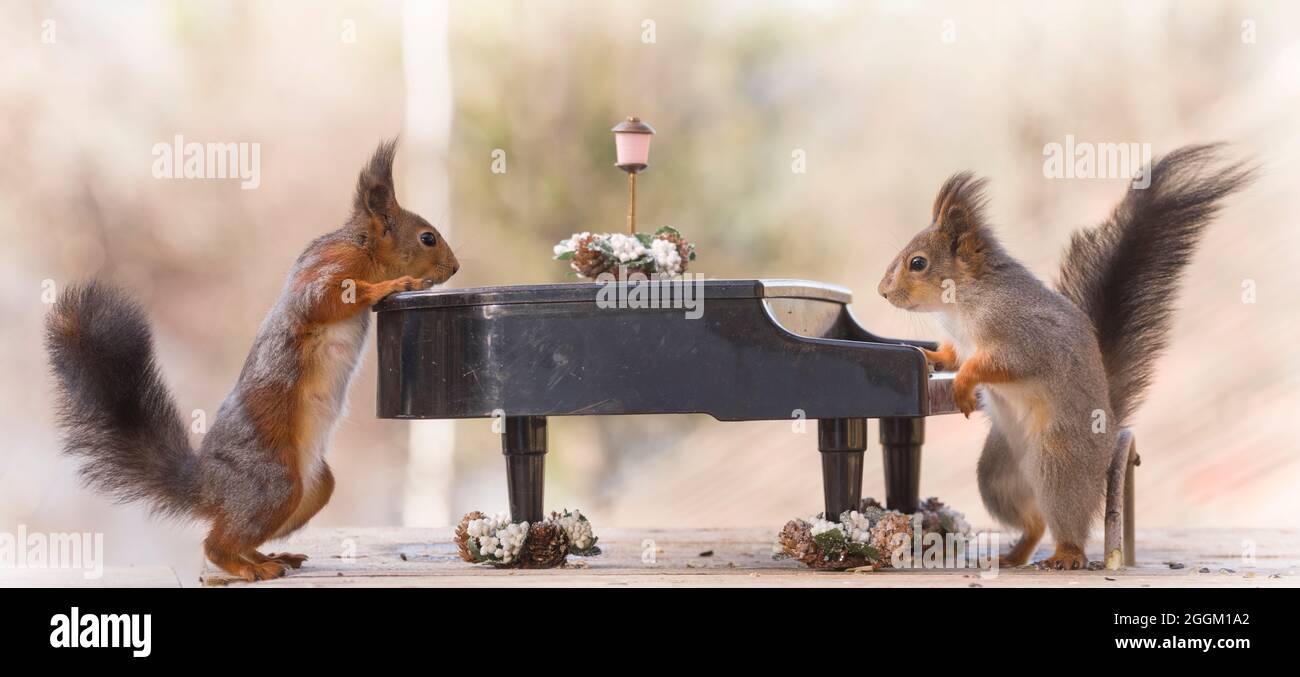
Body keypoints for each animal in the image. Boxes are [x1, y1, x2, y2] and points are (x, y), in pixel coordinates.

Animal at [43, 138, 460, 579]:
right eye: (428, 238)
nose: (455, 267)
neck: (362, 246)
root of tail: (208, 485)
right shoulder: (331, 267)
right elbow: (323, 300)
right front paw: (397, 283)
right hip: (273, 482)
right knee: (215, 543)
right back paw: (247, 569)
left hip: (310, 490)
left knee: (237, 534)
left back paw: (267, 558)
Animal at [878, 144, 1253, 566]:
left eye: (918, 263)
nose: (882, 291)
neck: (963, 302)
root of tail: (1108, 440)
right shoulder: (959, 341)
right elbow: (952, 355)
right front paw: (928, 359)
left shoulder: (1024, 336)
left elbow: (995, 364)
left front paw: (963, 384)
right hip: (997, 474)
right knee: (1035, 521)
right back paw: (1013, 555)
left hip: (1058, 463)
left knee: (1066, 520)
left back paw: (1067, 555)